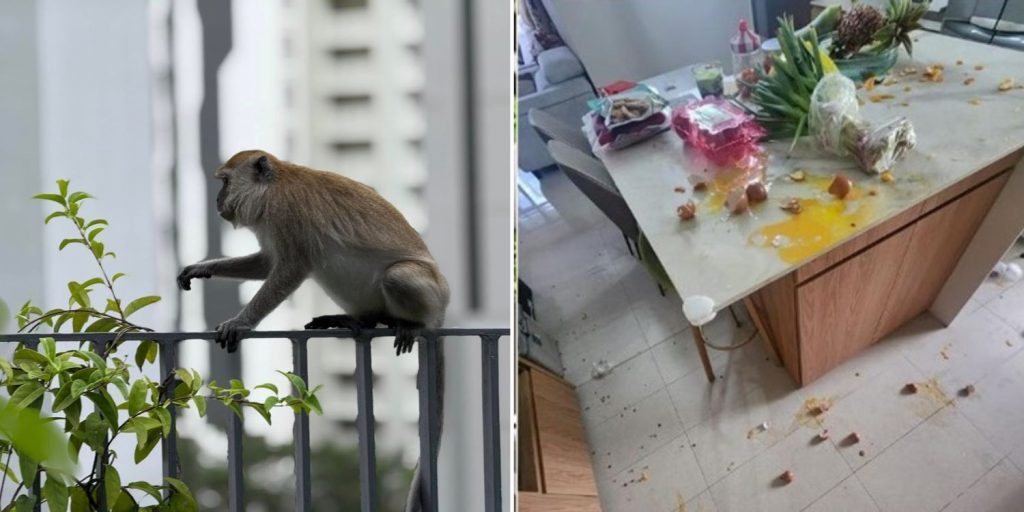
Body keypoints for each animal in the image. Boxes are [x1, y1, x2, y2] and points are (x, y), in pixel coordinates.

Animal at [177, 150, 449, 511]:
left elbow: (290, 268)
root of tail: (442, 310)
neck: (274, 185)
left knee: (397, 276)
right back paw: (361, 319)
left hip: (427, 294)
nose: (218, 199)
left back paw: (412, 323)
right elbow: (266, 263)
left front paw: (240, 322)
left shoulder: (285, 212)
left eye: (225, 181)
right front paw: (204, 267)